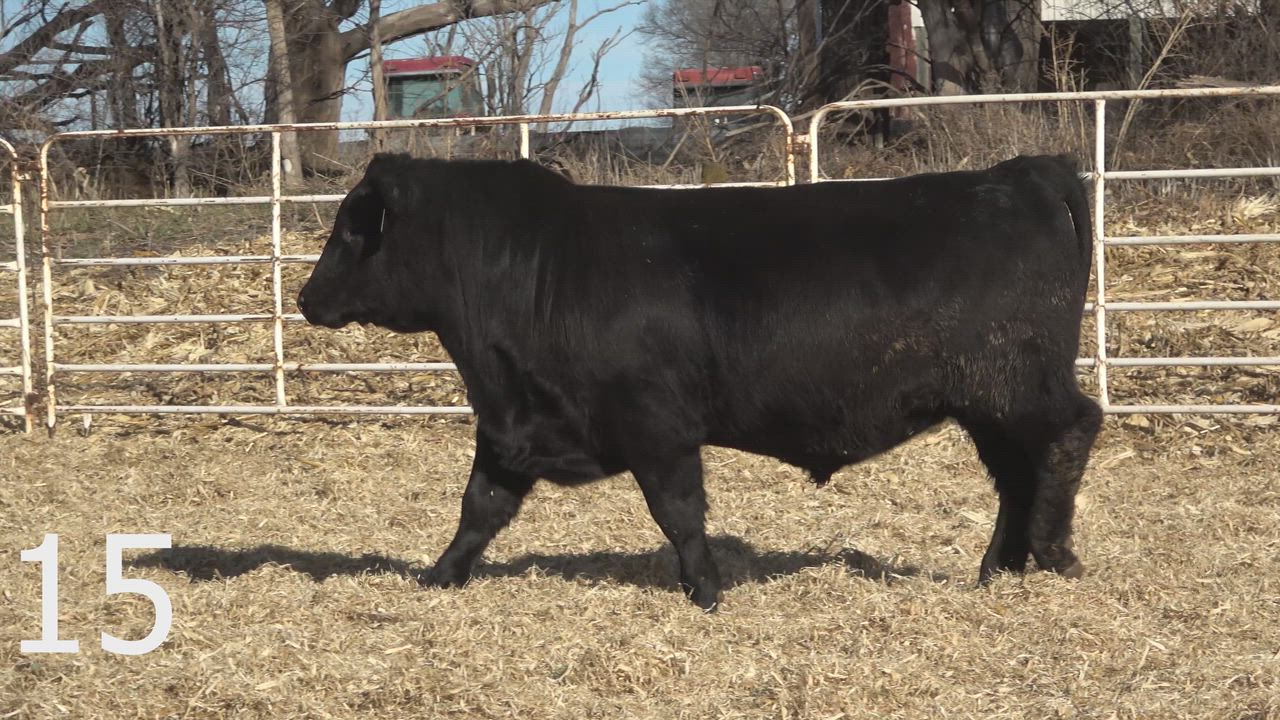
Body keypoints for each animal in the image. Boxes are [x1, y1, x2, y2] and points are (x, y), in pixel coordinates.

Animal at [297, 153, 1102, 610]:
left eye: (351, 229)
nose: (306, 298)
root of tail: (1012, 174)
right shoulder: (512, 425)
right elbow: (480, 509)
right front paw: (438, 578)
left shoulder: (658, 425)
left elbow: (679, 513)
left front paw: (707, 593)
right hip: (987, 402)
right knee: (1015, 474)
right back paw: (1000, 569)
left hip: (1018, 384)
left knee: (1071, 433)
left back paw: (1056, 555)